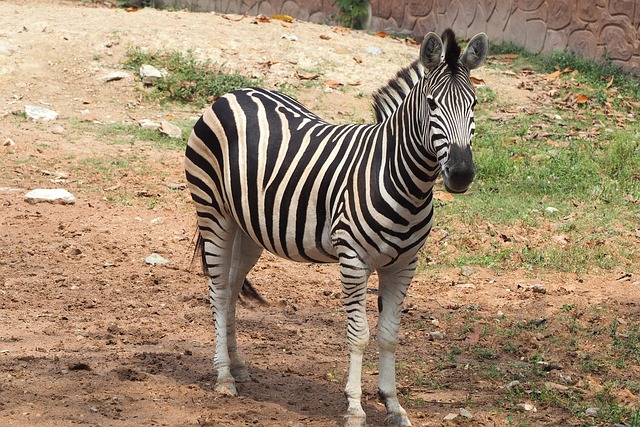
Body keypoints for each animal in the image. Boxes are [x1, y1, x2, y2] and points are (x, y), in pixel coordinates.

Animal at [185, 28, 488, 427]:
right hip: (213, 212)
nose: (462, 173)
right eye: (432, 103)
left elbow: (389, 335)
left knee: (233, 288)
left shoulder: (404, 265)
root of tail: (234, 93)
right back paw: (223, 377)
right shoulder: (354, 260)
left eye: (474, 104)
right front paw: (355, 408)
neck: (403, 180)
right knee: (219, 292)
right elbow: (359, 335)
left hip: (248, 227)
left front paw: (393, 405)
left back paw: (238, 367)